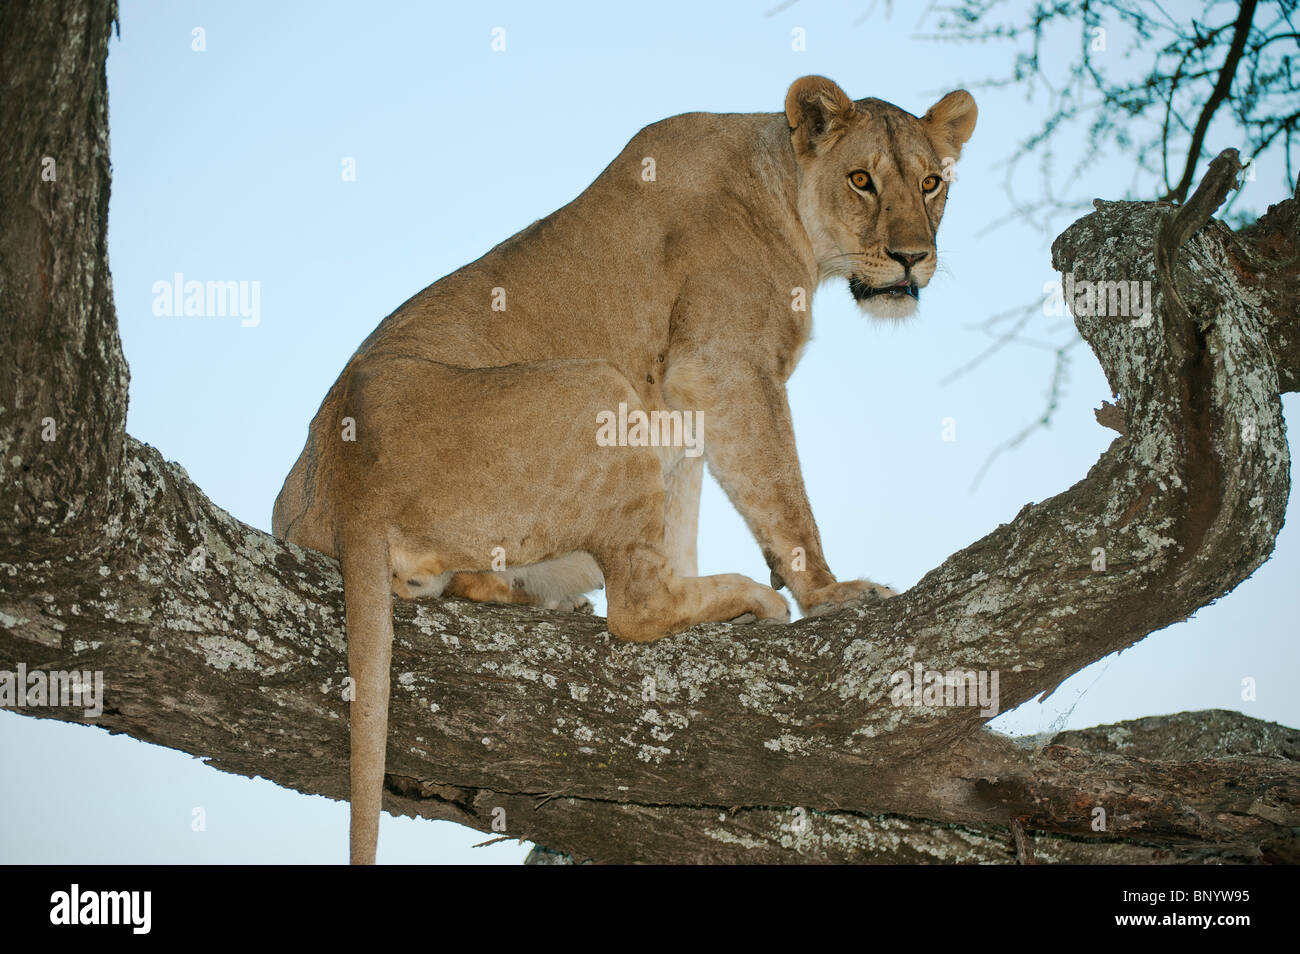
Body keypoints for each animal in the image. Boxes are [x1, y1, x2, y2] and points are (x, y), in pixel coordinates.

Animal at [272, 75, 977, 863]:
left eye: (932, 183)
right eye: (861, 180)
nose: (913, 257)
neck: (789, 201)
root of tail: (351, 474)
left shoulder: (686, 417)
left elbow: (685, 525)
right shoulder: (724, 369)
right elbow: (781, 495)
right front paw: (829, 592)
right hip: (598, 385)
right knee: (635, 611)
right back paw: (744, 597)